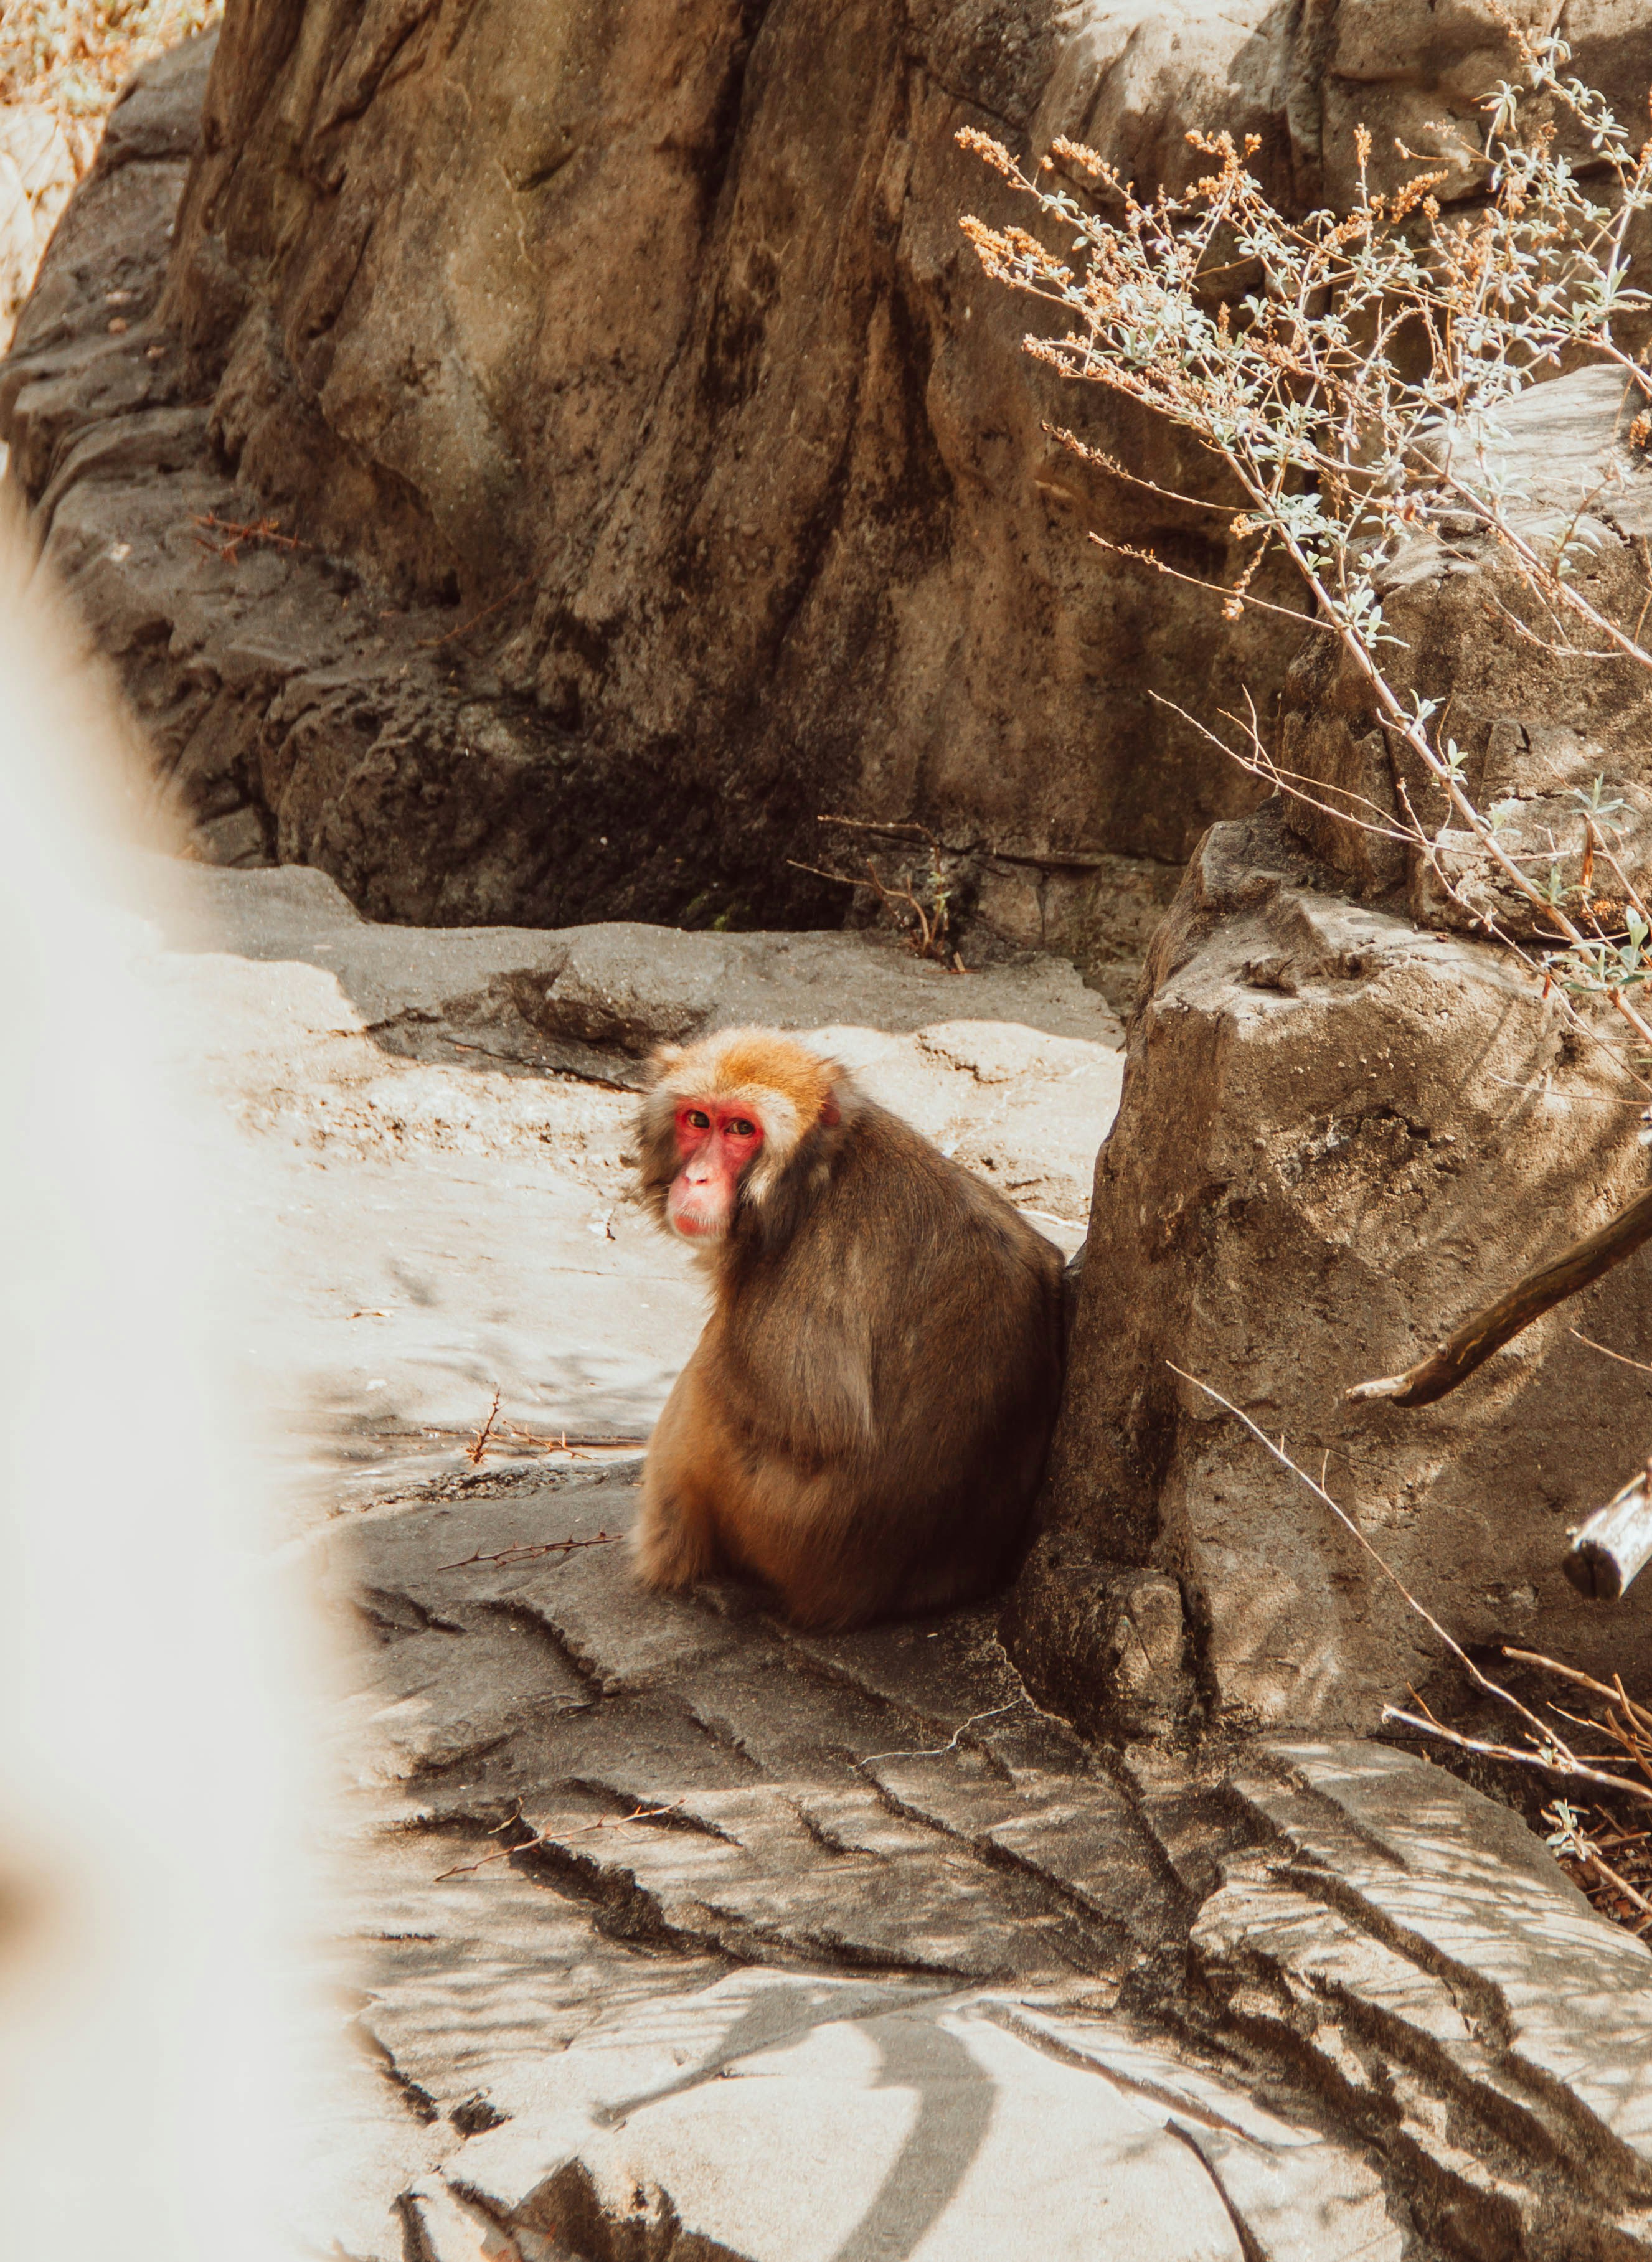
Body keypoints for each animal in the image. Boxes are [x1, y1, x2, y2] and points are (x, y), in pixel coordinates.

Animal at [633, 1026, 1066, 1629]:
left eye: (741, 1129)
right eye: (698, 1120)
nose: (696, 1176)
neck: (815, 1173)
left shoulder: (805, 1266)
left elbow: (817, 1421)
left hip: (779, 1530)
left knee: (708, 1386)